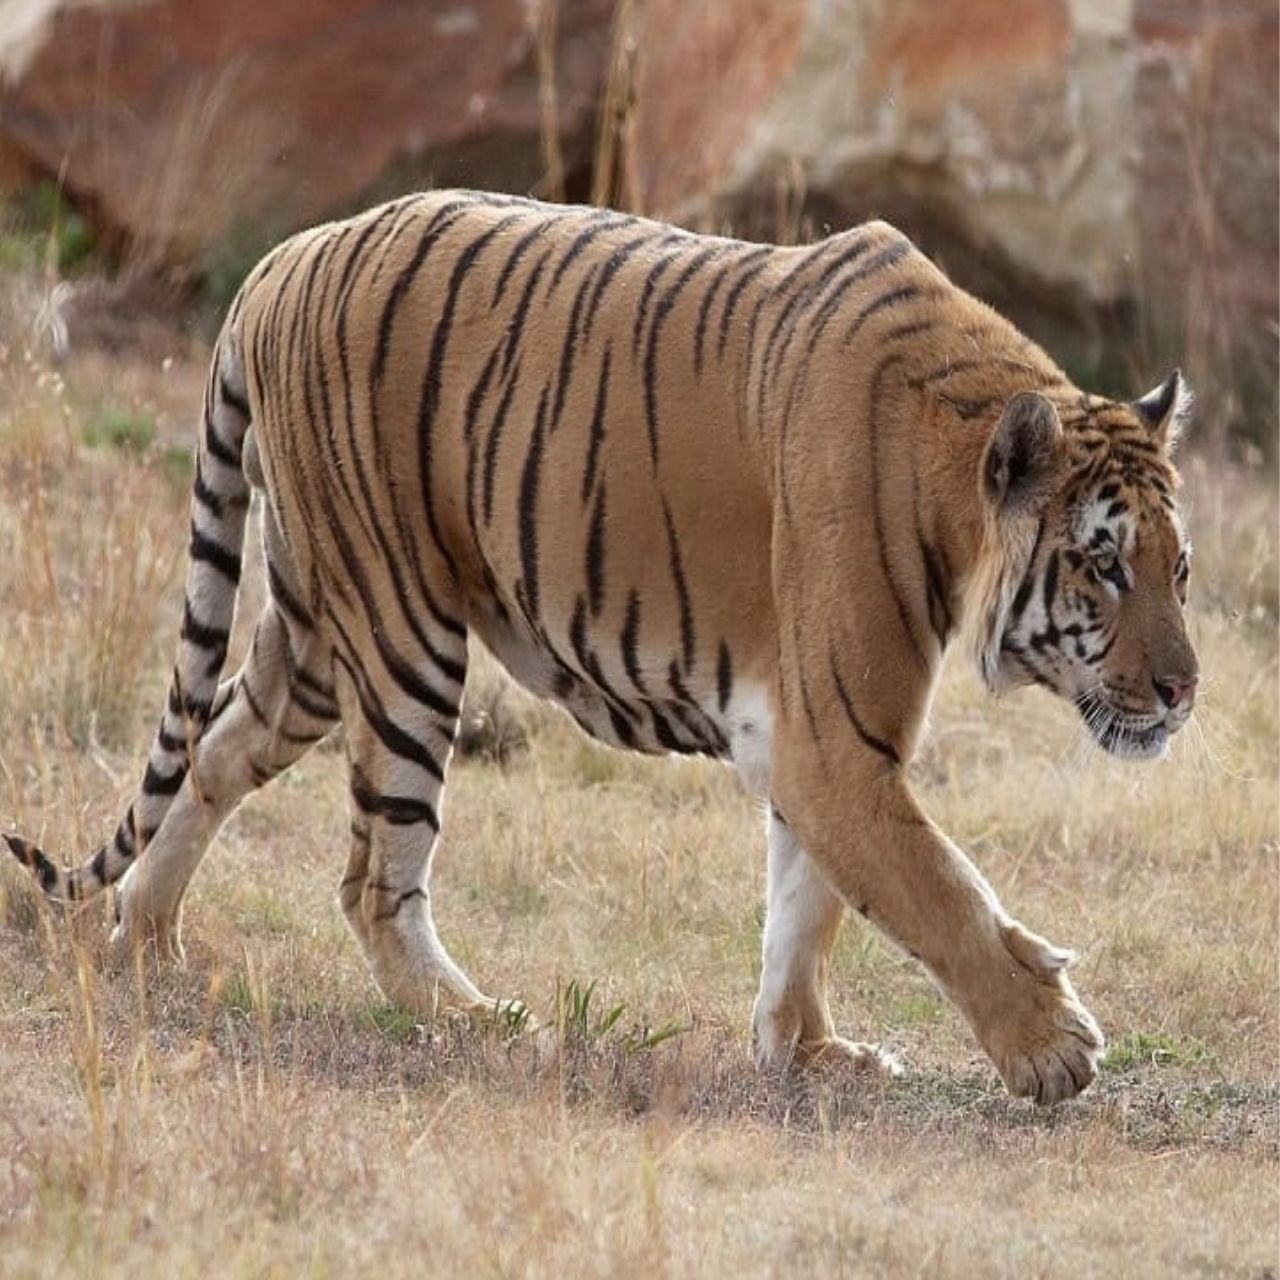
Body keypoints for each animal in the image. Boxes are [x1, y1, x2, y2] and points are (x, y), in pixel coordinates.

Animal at [5, 189, 1199, 1105]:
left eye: (1177, 568)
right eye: (1102, 565)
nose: (1183, 690)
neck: (951, 478)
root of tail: (280, 260)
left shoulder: (816, 741)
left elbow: (806, 904)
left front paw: (806, 1050)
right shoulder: (834, 741)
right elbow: (934, 887)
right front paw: (1048, 1046)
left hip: (309, 629)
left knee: (210, 754)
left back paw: (145, 941)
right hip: (401, 634)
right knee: (371, 876)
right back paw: (483, 1020)